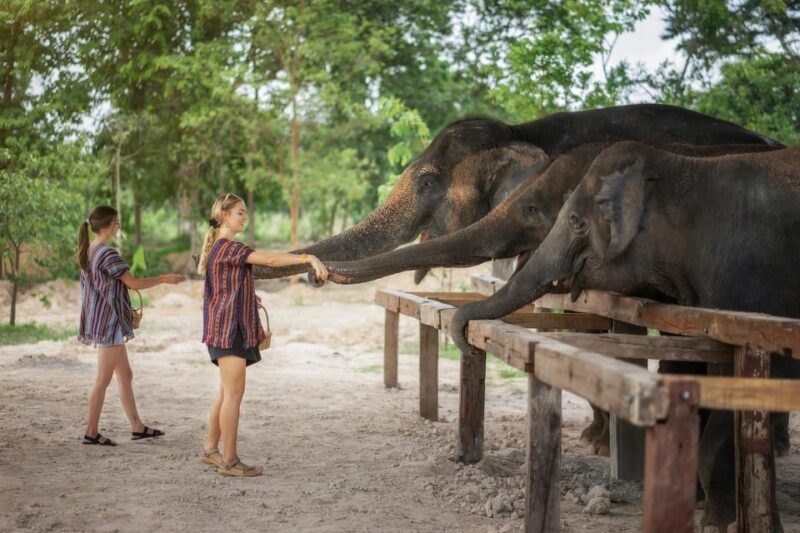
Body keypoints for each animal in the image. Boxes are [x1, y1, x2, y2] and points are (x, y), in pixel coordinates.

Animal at [450, 141, 800, 531]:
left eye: (575, 221)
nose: (468, 341)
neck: (689, 169)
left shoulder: (754, 282)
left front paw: (721, 524)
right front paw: (706, 510)